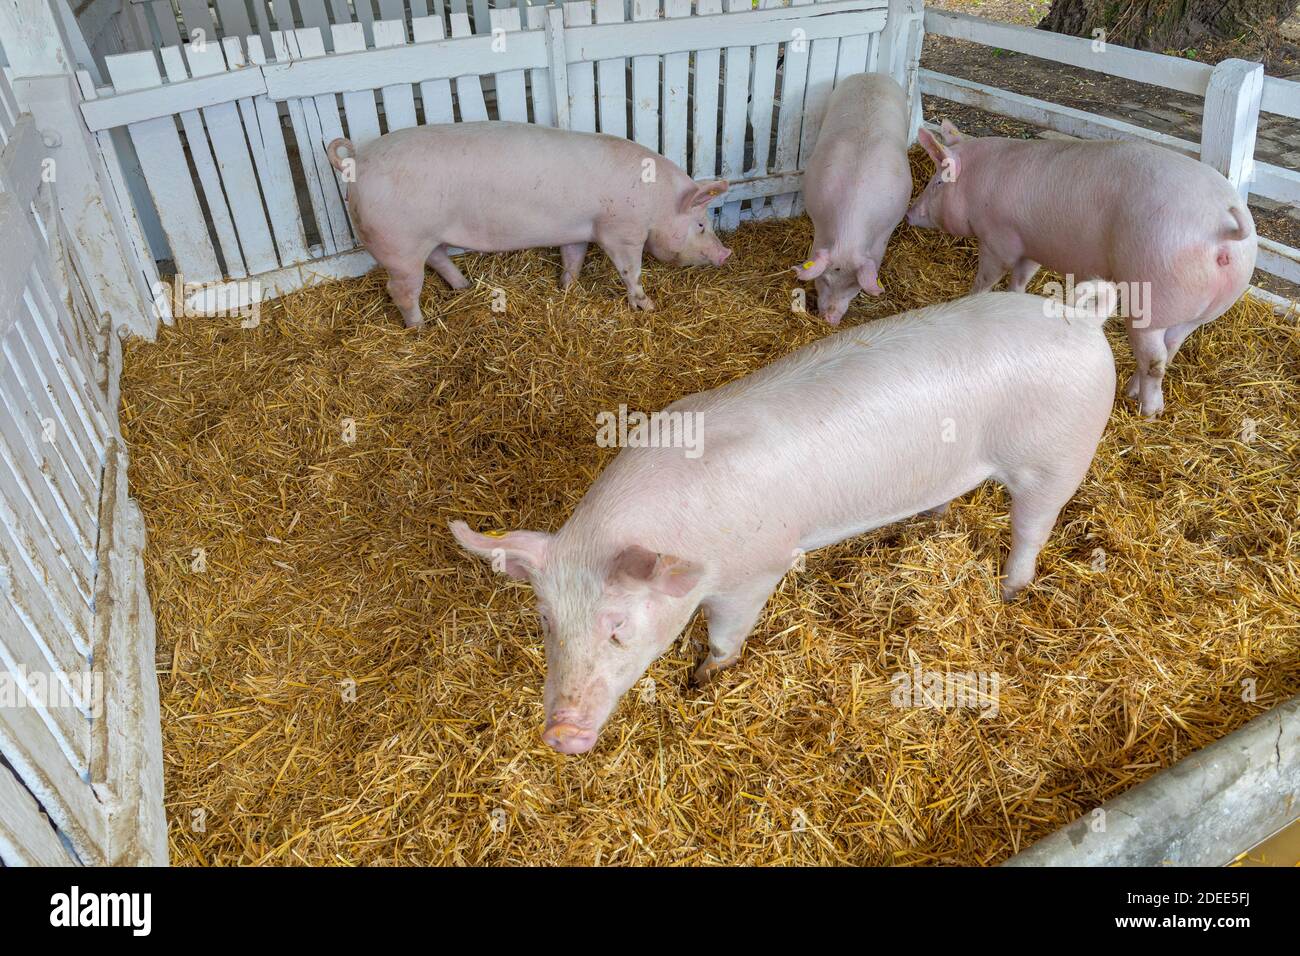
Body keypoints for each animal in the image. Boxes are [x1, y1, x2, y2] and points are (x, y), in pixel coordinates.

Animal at [325, 122, 733, 328]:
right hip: (399, 246)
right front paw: (646, 306)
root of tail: (355, 162)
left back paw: (465, 287)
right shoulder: (620, 231)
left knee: (439, 258)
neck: (656, 202)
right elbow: (629, 271)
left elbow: (573, 259)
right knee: (401, 291)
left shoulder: (578, 230)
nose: (726, 253)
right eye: (700, 224)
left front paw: (566, 289)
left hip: (425, 238)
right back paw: (420, 328)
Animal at [452, 283, 1119, 754]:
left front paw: (700, 678)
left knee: (1033, 528)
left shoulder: (756, 569)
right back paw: (923, 524)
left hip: (1058, 458)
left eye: (617, 625)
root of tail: (1082, 317)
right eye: (545, 621)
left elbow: (727, 635)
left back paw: (1009, 593)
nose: (561, 734)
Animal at [906, 121, 1258, 418]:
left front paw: (973, 296)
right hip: (1203, 310)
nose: (910, 213)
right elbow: (1020, 280)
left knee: (1156, 359)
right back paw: (1133, 392)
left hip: (1152, 292)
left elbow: (987, 278)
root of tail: (1222, 227)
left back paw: (1147, 412)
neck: (979, 182)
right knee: (1170, 349)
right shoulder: (1032, 247)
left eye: (937, 182)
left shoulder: (997, 240)